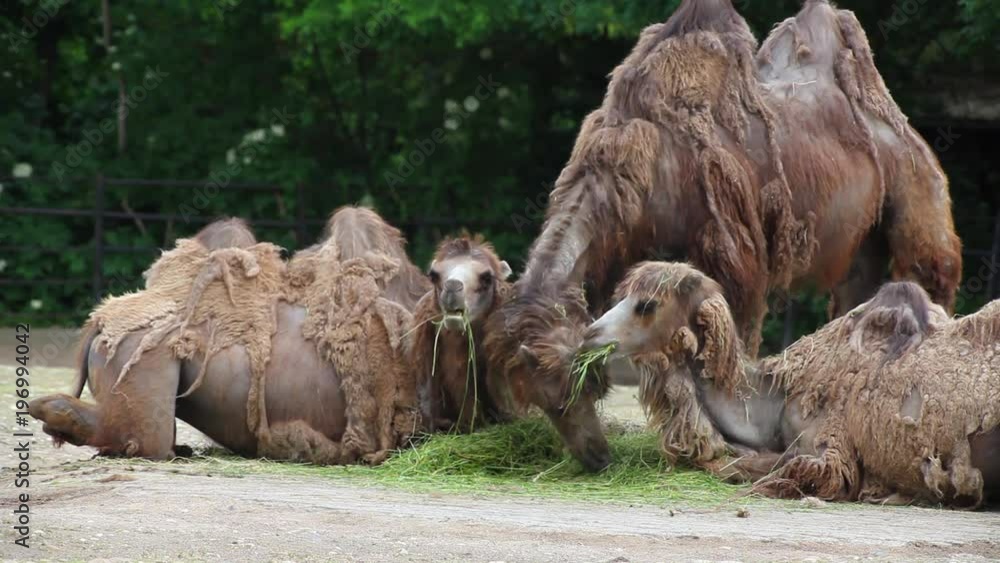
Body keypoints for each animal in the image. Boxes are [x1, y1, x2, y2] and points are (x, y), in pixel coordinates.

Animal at [495, 0, 962, 471]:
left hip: (914, 190)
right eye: (540, 400)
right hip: (859, 241)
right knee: (855, 294)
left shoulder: (734, 252)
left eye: (582, 385)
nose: (595, 457)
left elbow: (739, 333)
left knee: (930, 272)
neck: (643, 166)